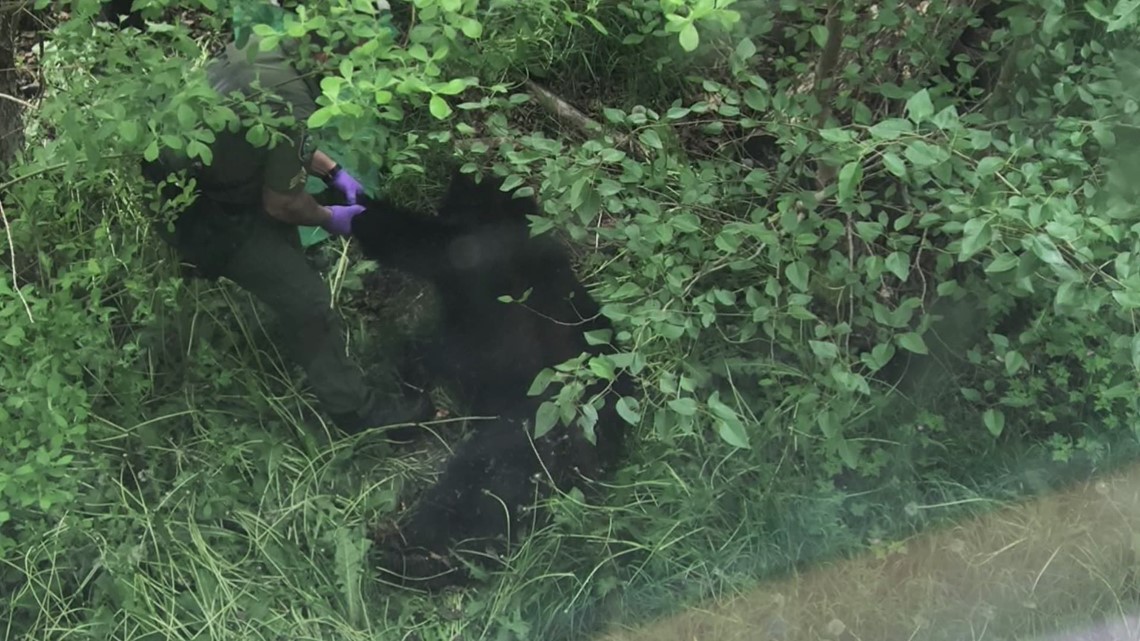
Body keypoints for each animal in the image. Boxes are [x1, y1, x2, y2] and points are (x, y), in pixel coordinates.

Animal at [347, 167, 635, 590]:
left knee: (470, 499)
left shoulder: (461, 257)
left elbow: (406, 241)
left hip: (512, 444)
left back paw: (407, 556)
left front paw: (350, 203)